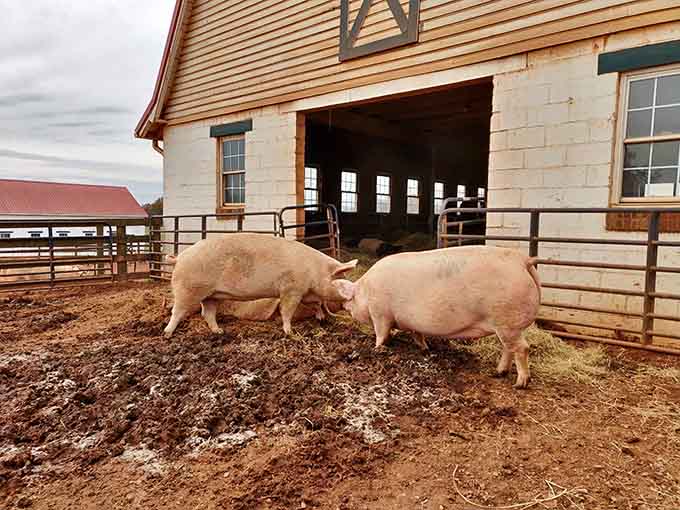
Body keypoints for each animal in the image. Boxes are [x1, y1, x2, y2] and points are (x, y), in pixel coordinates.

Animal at [163, 233, 357, 338]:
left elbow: (316, 303)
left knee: (207, 314)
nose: (352, 296)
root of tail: (179, 258)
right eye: (341, 279)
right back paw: (167, 333)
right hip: (188, 290)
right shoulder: (291, 290)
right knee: (177, 311)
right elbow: (287, 311)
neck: (315, 270)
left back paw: (219, 332)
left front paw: (321, 319)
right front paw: (290, 332)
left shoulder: (305, 292)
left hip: (211, 295)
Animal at [331, 246, 541, 388]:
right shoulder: (411, 323)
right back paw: (499, 373)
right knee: (509, 349)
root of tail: (522, 260)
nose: (344, 307)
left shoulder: (380, 314)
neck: (366, 291)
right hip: (507, 325)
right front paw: (425, 349)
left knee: (522, 348)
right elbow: (417, 335)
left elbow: (381, 334)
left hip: (507, 322)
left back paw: (520, 384)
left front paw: (376, 349)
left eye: (351, 298)